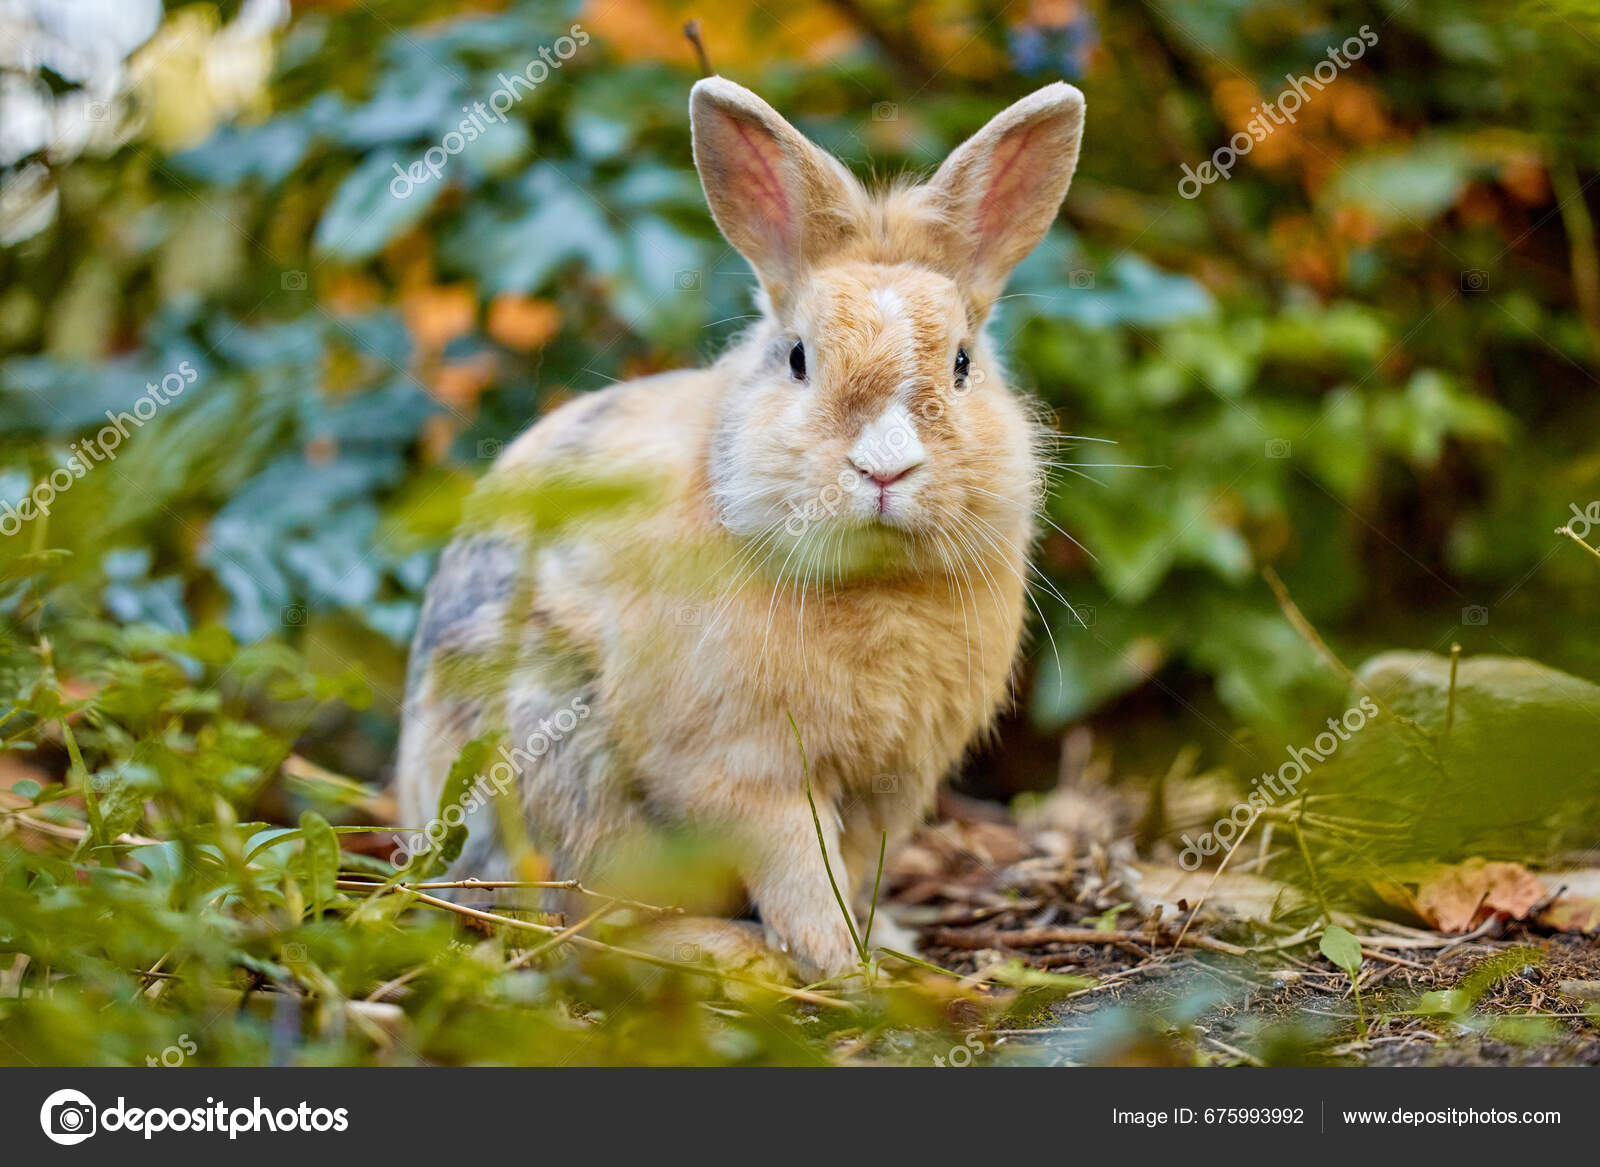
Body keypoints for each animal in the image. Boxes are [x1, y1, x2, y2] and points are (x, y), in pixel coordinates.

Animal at [394, 76, 1086, 982]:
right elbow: (797, 868)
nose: (885, 469)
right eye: (798, 359)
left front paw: (879, 947)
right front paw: (839, 962)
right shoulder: (743, 774)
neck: (872, 579)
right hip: (555, 776)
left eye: (964, 365)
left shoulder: (888, 788)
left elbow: (852, 864)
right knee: (586, 927)